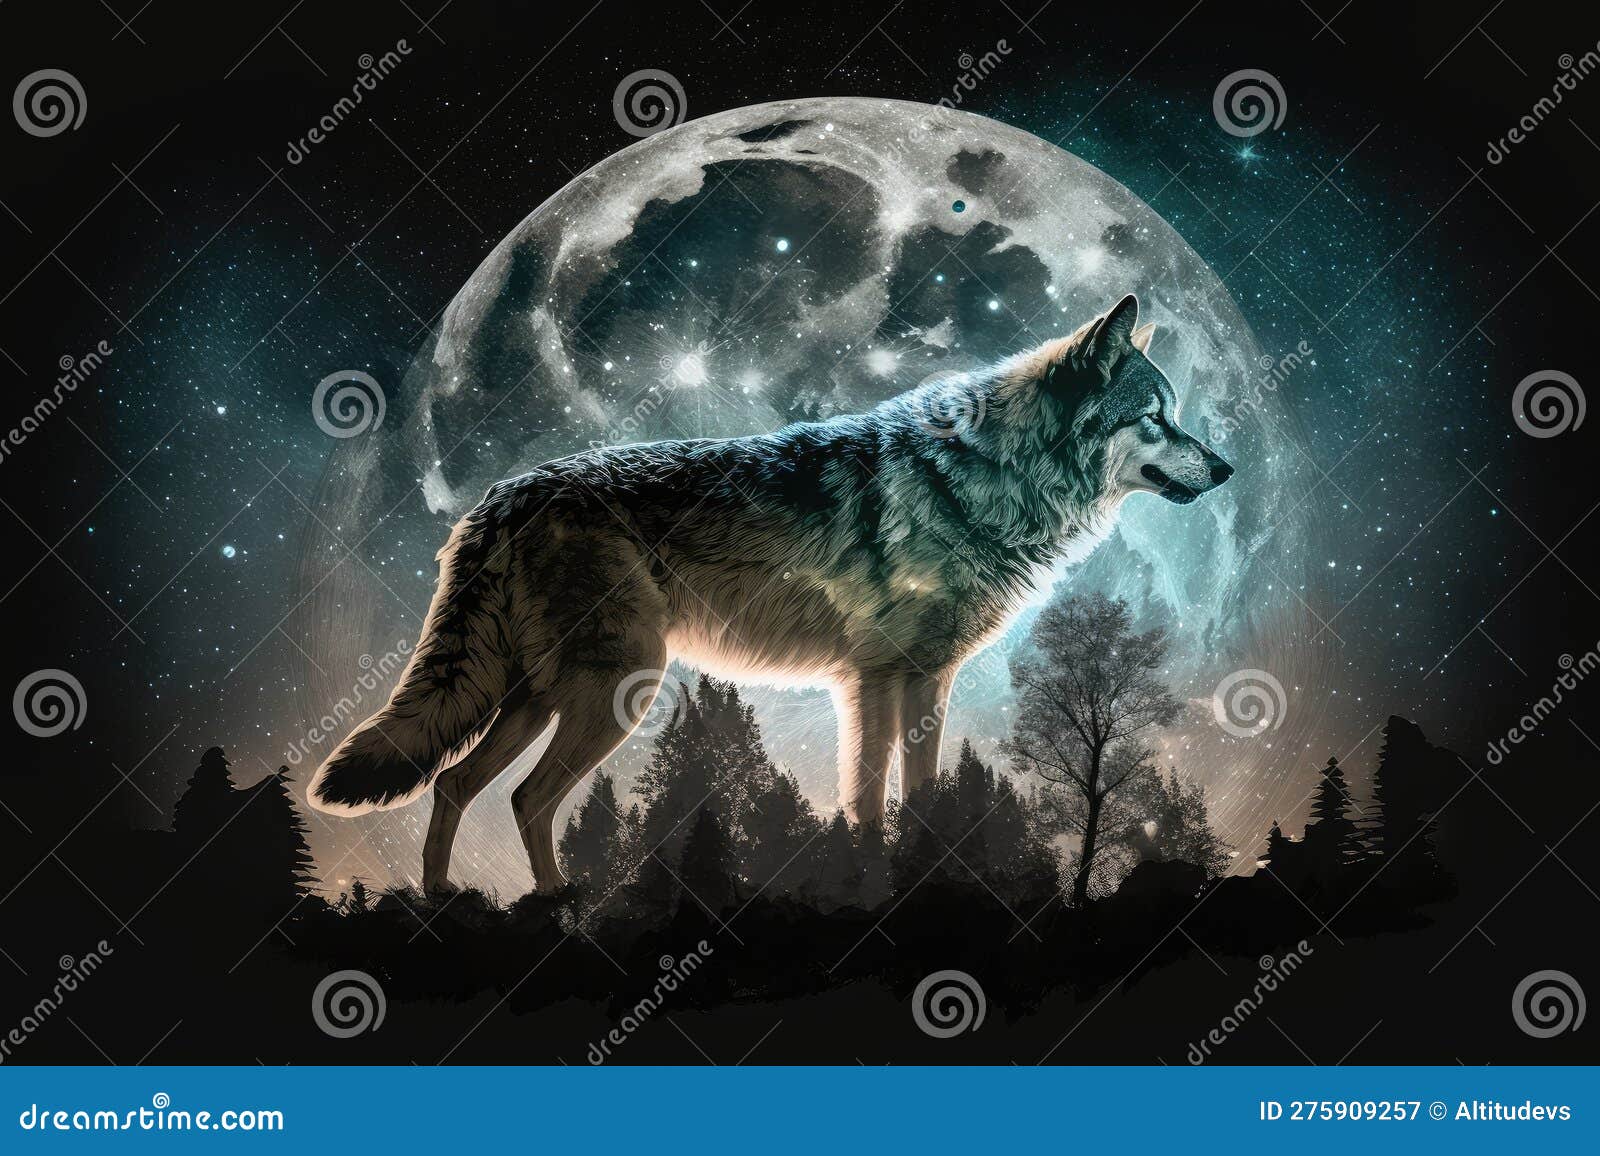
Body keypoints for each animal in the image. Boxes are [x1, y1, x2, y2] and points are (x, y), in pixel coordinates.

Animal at [307, 294, 1233, 893]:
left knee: (458, 787)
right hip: (611, 694)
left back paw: (452, 907)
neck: (989, 479)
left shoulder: (926, 682)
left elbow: (922, 794)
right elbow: (866, 803)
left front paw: (928, 876)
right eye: (1156, 416)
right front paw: (873, 887)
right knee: (523, 798)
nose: (1227, 468)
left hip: (536, 698)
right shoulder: (874, 682)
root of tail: (497, 497)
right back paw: (557, 910)